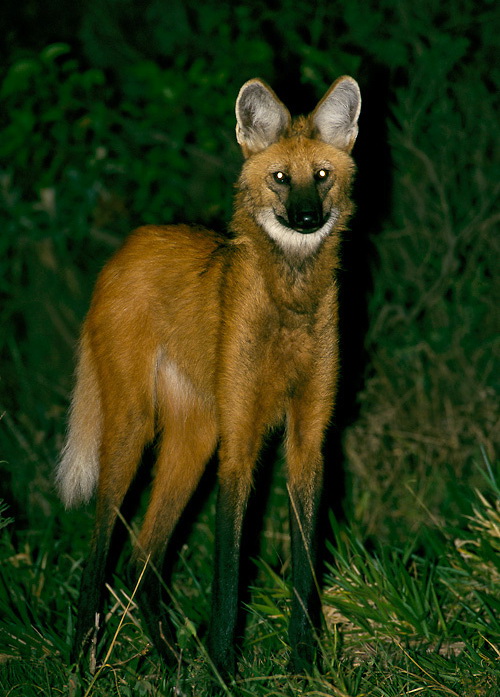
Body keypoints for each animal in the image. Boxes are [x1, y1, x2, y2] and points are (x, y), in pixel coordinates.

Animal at [58, 75, 362, 676]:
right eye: (279, 178)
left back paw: (171, 659)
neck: (289, 301)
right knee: (101, 550)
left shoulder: (308, 438)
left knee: (141, 557)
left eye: (321, 176)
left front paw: (304, 667)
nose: (307, 219)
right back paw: (83, 661)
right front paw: (224, 669)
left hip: (195, 440)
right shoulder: (240, 440)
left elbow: (305, 569)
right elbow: (228, 573)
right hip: (133, 430)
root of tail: (128, 246)